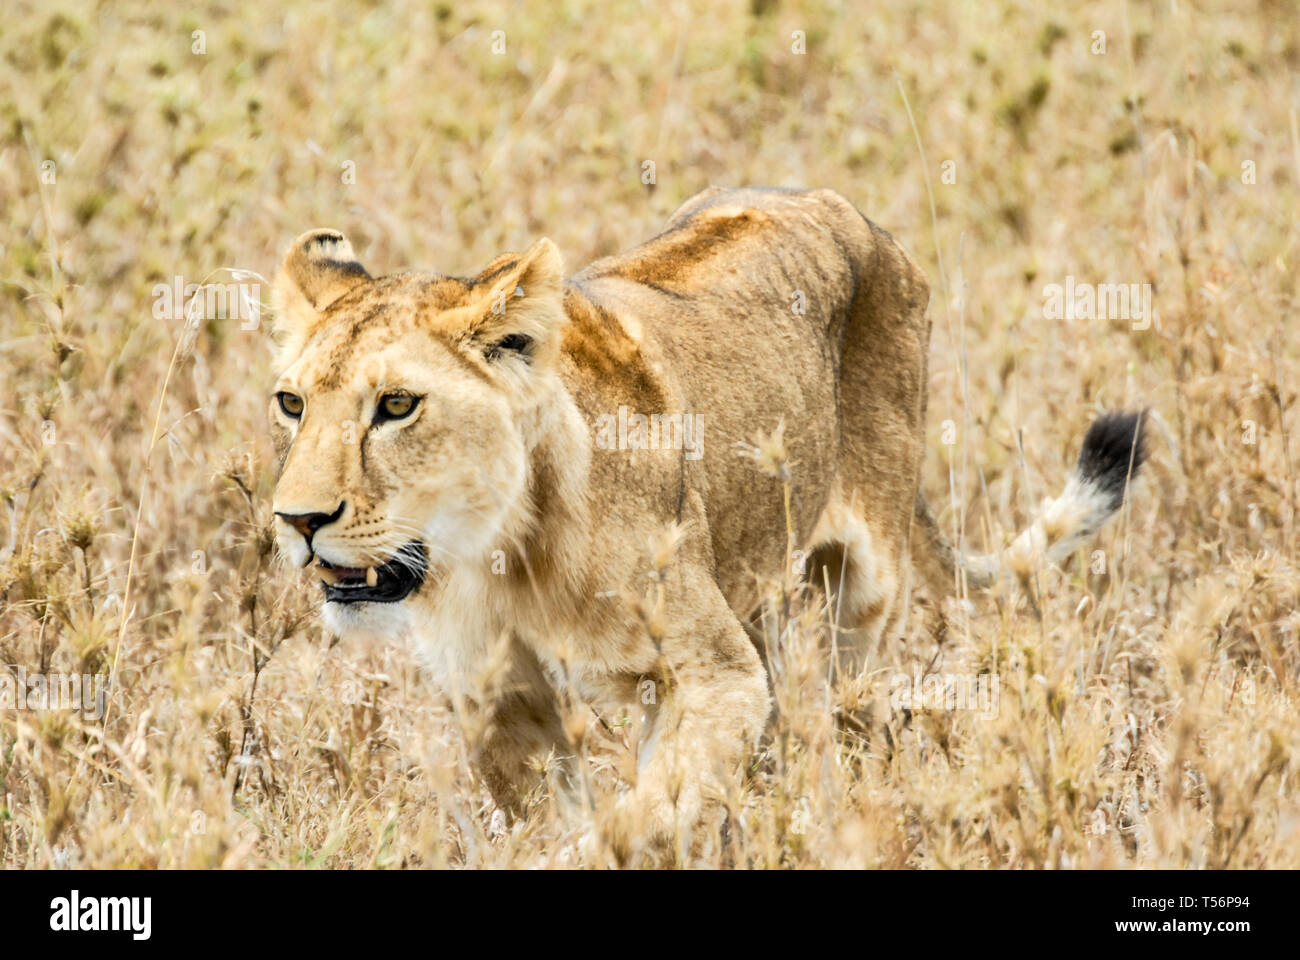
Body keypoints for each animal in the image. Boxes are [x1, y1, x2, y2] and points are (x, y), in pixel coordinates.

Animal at [268, 186, 1146, 859]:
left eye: (398, 405)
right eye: (292, 402)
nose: (298, 520)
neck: (506, 552)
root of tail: (851, 212)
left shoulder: (717, 676)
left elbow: (639, 815)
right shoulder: (500, 699)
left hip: (863, 596)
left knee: (842, 723)